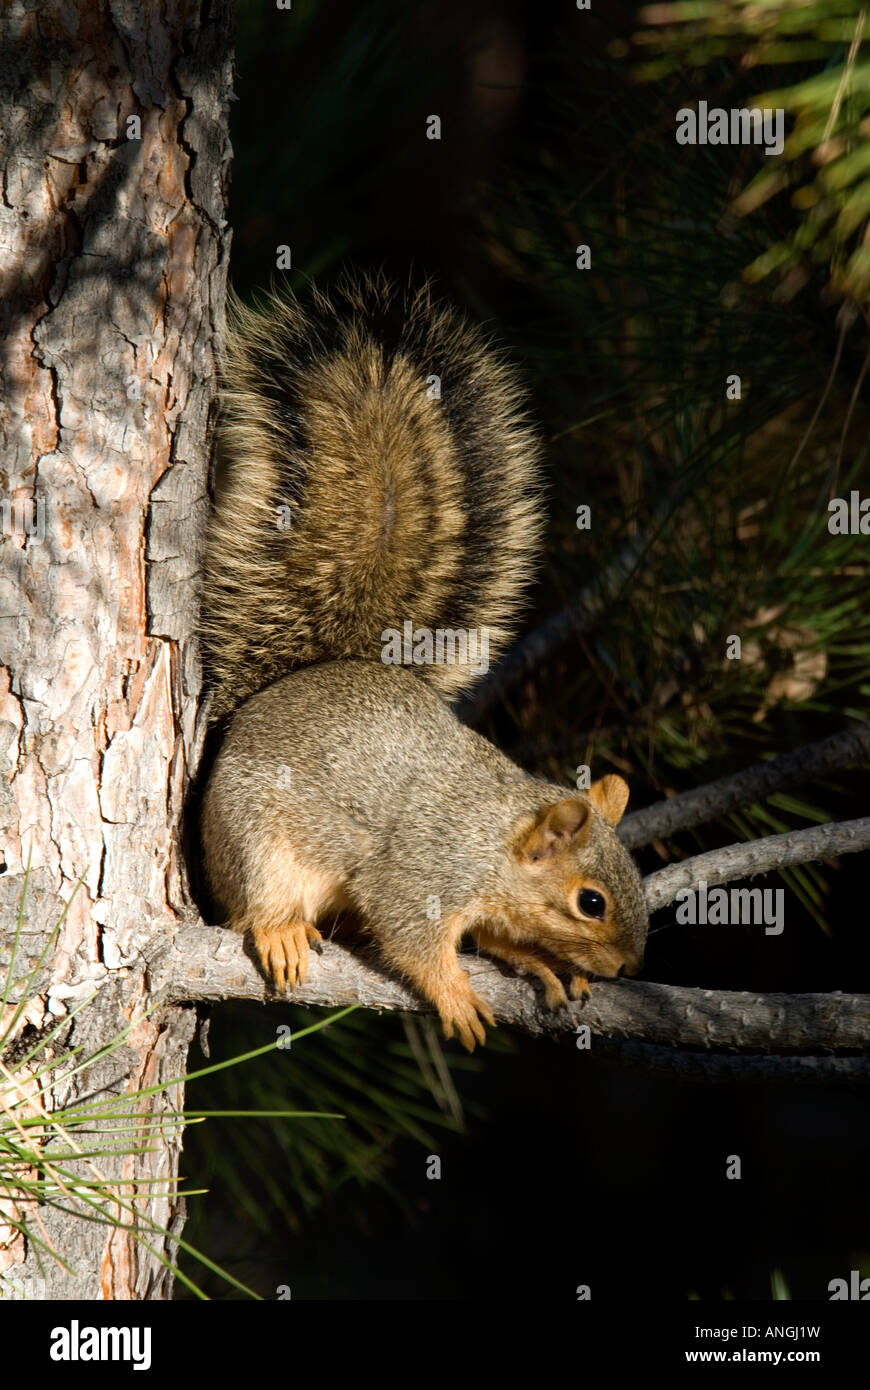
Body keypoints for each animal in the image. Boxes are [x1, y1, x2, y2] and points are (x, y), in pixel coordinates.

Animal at [199, 273, 649, 1050]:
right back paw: (279, 928)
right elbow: (411, 936)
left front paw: (541, 963)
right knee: (255, 898)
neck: (495, 837)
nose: (627, 967)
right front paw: (456, 992)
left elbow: (499, 936)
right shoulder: (420, 871)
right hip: (253, 837)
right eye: (590, 902)